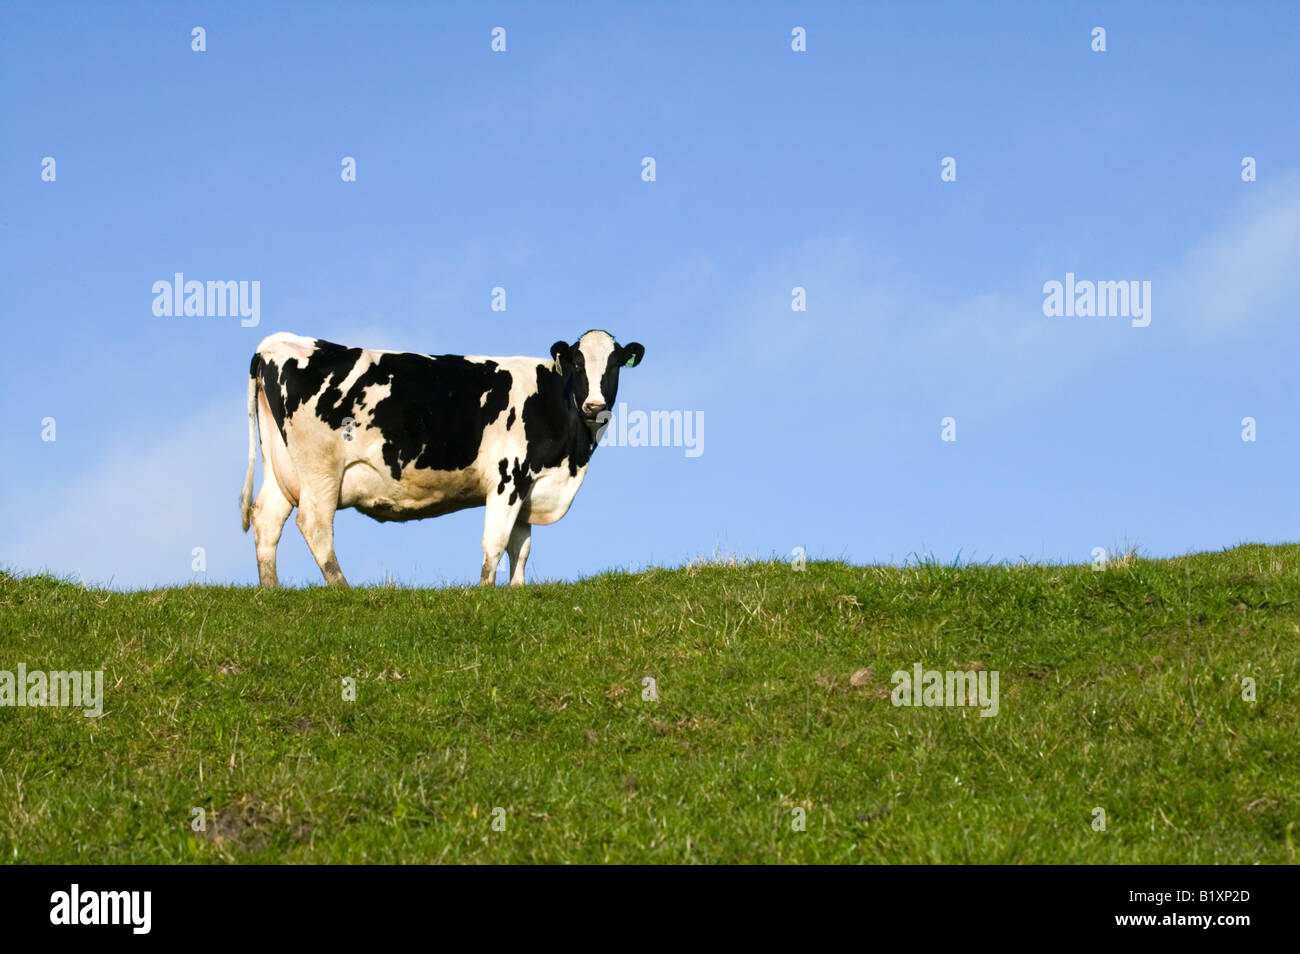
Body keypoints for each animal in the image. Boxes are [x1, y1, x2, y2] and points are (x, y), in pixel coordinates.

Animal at [239, 330, 645, 587]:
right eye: (577, 363)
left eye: (614, 364)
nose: (594, 405)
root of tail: (278, 343)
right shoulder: (508, 477)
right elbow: (495, 544)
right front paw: (485, 592)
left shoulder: (529, 486)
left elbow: (521, 547)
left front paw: (516, 591)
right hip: (320, 467)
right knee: (315, 524)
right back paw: (342, 588)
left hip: (282, 466)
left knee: (266, 518)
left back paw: (270, 590)